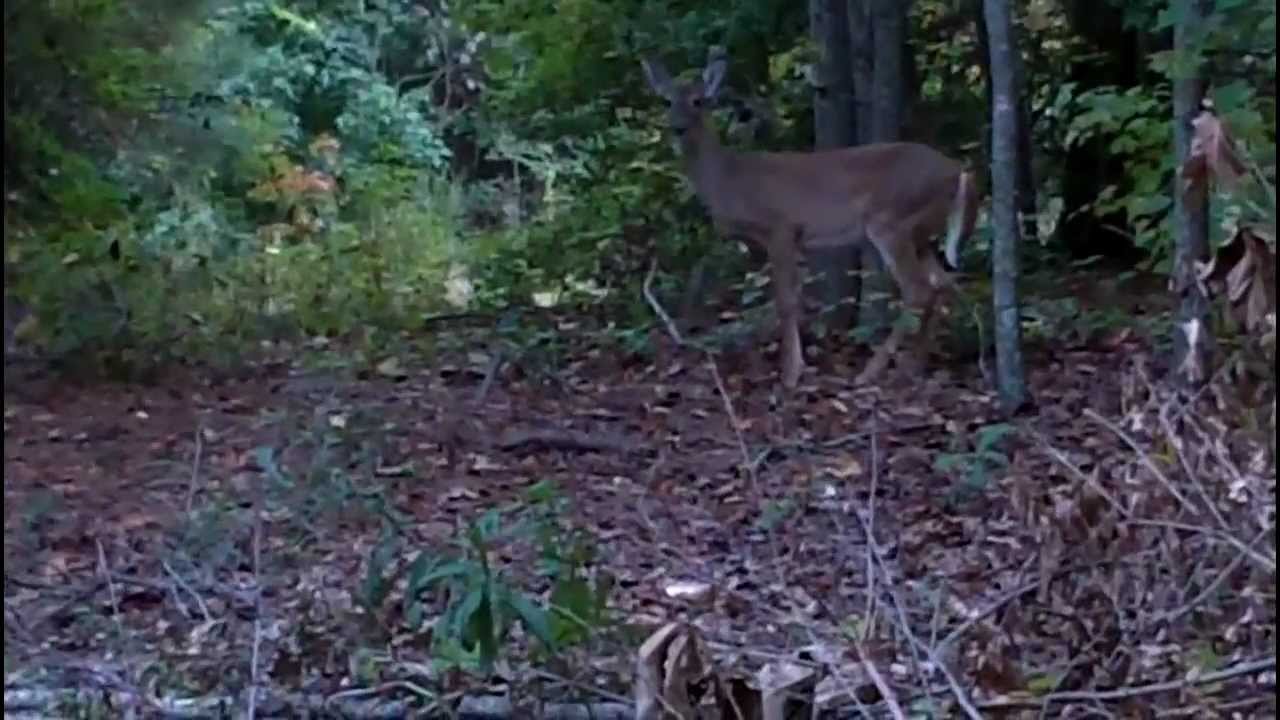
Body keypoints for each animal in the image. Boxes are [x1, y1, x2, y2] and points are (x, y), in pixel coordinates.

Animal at [640, 52, 980, 389]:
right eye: (666, 101)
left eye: (698, 101)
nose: (677, 127)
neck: (729, 179)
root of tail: (958, 171)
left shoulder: (781, 226)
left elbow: (786, 301)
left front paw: (791, 374)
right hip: (922, 232)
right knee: (941, 285)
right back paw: (912, 367)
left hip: (892, 221)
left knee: (918, 289)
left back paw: (871, 373)